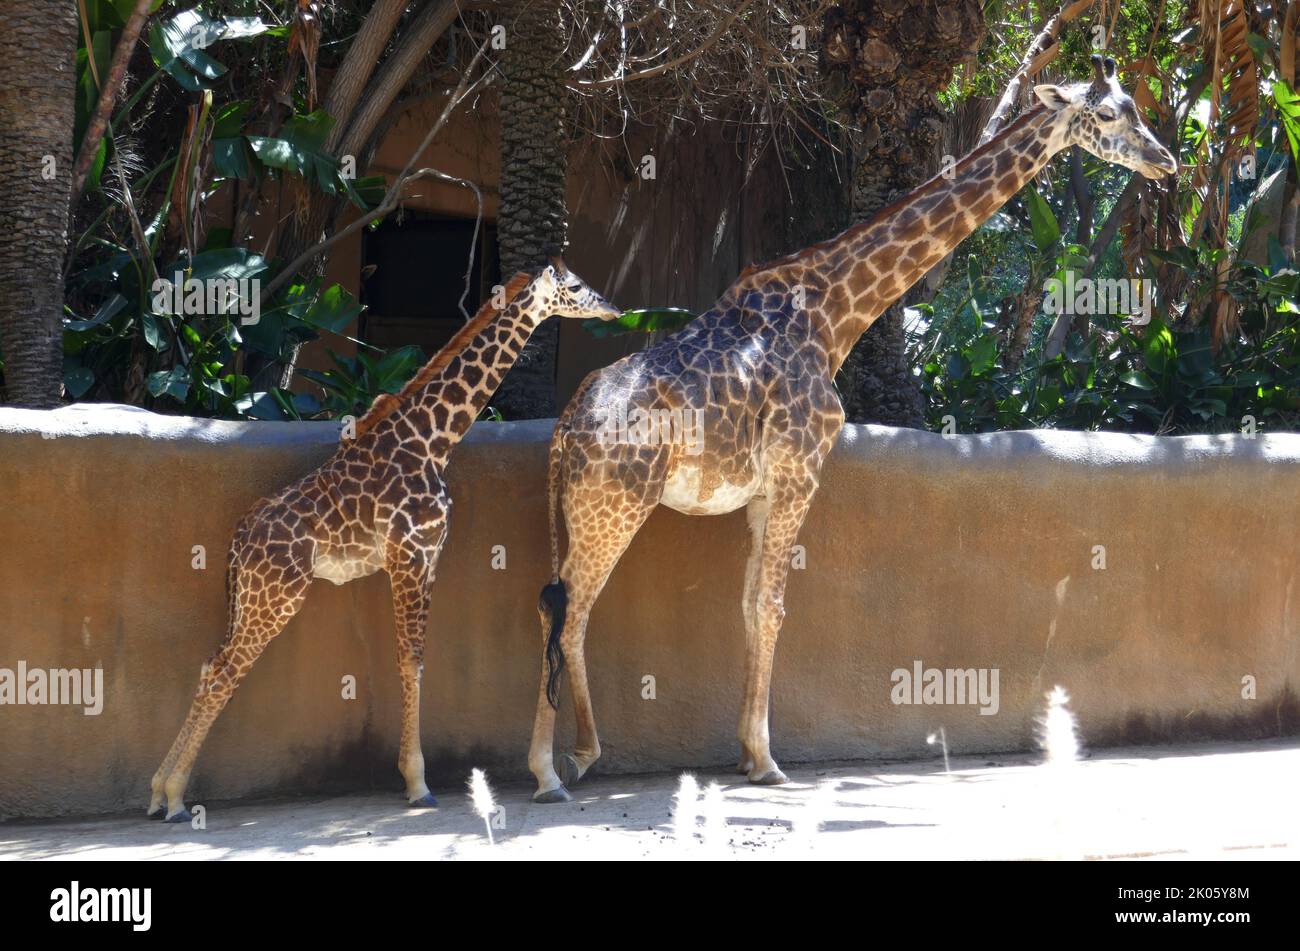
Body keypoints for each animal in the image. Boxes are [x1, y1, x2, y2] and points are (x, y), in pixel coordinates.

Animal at [148, 255, 619, 821]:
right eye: (576, 286)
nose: (615, 308)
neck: (435, 440)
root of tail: (238, 545)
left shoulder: (427, 558)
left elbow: (411, 659)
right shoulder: (411, 555)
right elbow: (411, 661)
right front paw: (418, 783)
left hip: (249, 599)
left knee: (207, 667)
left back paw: (158, 790)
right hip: (276, 598)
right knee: (223, 673)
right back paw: (176, 797)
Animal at [528, 57, 1178, 802]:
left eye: (1136, 106)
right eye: (1107, 114)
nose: (1168, 161)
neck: (837, 310)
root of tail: (567, 427)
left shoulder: (763, 491)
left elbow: (749, 605)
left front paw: (746, 754)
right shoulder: (801, 469)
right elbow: (773, 606)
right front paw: (768, 758)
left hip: (582, 507)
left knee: (559, 605)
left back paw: (577, 753)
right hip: (614, 505)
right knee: (570, 608)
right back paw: (551, 767)